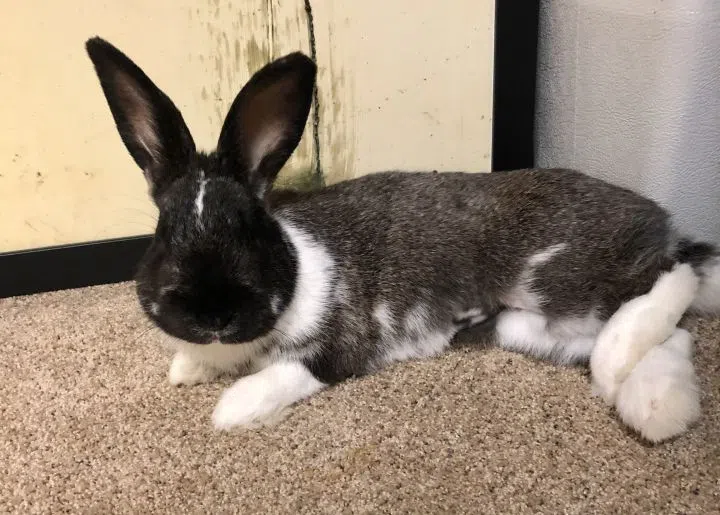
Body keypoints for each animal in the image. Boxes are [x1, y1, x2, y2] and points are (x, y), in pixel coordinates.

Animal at [85, 36, 720, 440]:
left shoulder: (340, 343)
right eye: (163, 233)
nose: (212, 316)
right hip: (530, 326)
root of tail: (659, 224)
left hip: (562, 278)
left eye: (250, 229)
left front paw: (232, 409)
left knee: (673, 280)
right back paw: (658, 405)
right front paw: (187, 368)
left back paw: (628, 376)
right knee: (675, 333)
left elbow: (290, 373)